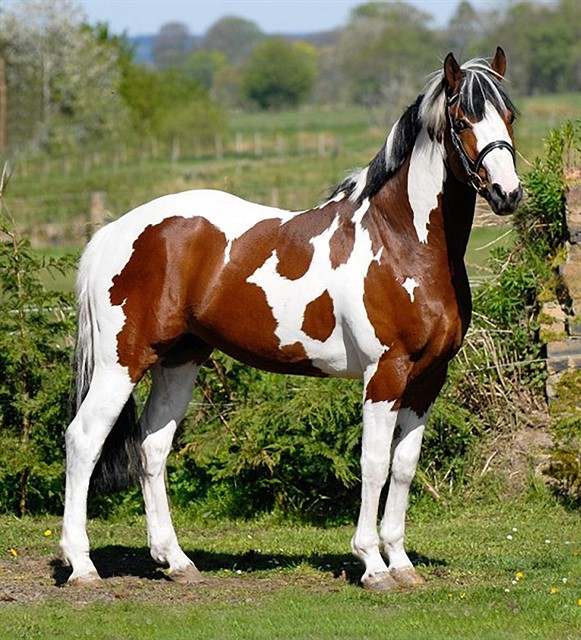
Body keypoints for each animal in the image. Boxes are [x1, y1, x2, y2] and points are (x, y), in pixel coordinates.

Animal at [60, 48, 521, 591]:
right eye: (462, 119)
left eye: (509, 116)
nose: (508, 193)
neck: (402, 244)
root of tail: (114, 231)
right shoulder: (384, 375)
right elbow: (374, 463)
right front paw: (372, 564)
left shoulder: (428, 378)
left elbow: (405, 466)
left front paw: (401, 561)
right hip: (121, 363)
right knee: (84, 440)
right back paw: (82, 565)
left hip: (179, 360)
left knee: (152, 447)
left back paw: (175, 560)